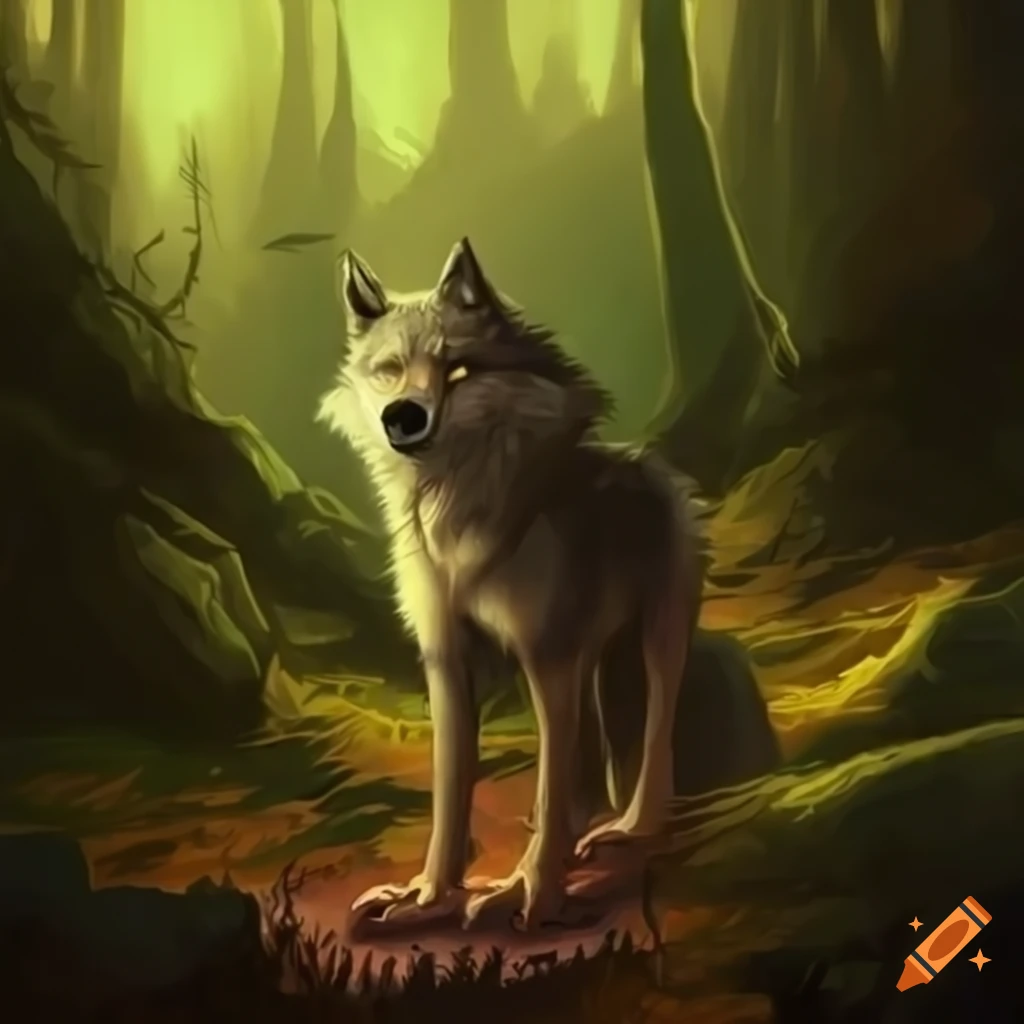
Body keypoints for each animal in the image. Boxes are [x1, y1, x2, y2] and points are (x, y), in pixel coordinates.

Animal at [318, 238, 706, 930]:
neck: (456, 514)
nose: (403, 415)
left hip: (655, 641)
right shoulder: (447, 660)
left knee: (654, 746)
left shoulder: (547, 655)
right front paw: (428, 897)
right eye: (389, 370)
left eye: (458, 371)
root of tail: (647, 464)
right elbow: (450, 794)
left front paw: (531, 892)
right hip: (585, 659)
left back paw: (626, 830)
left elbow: (551, 787)